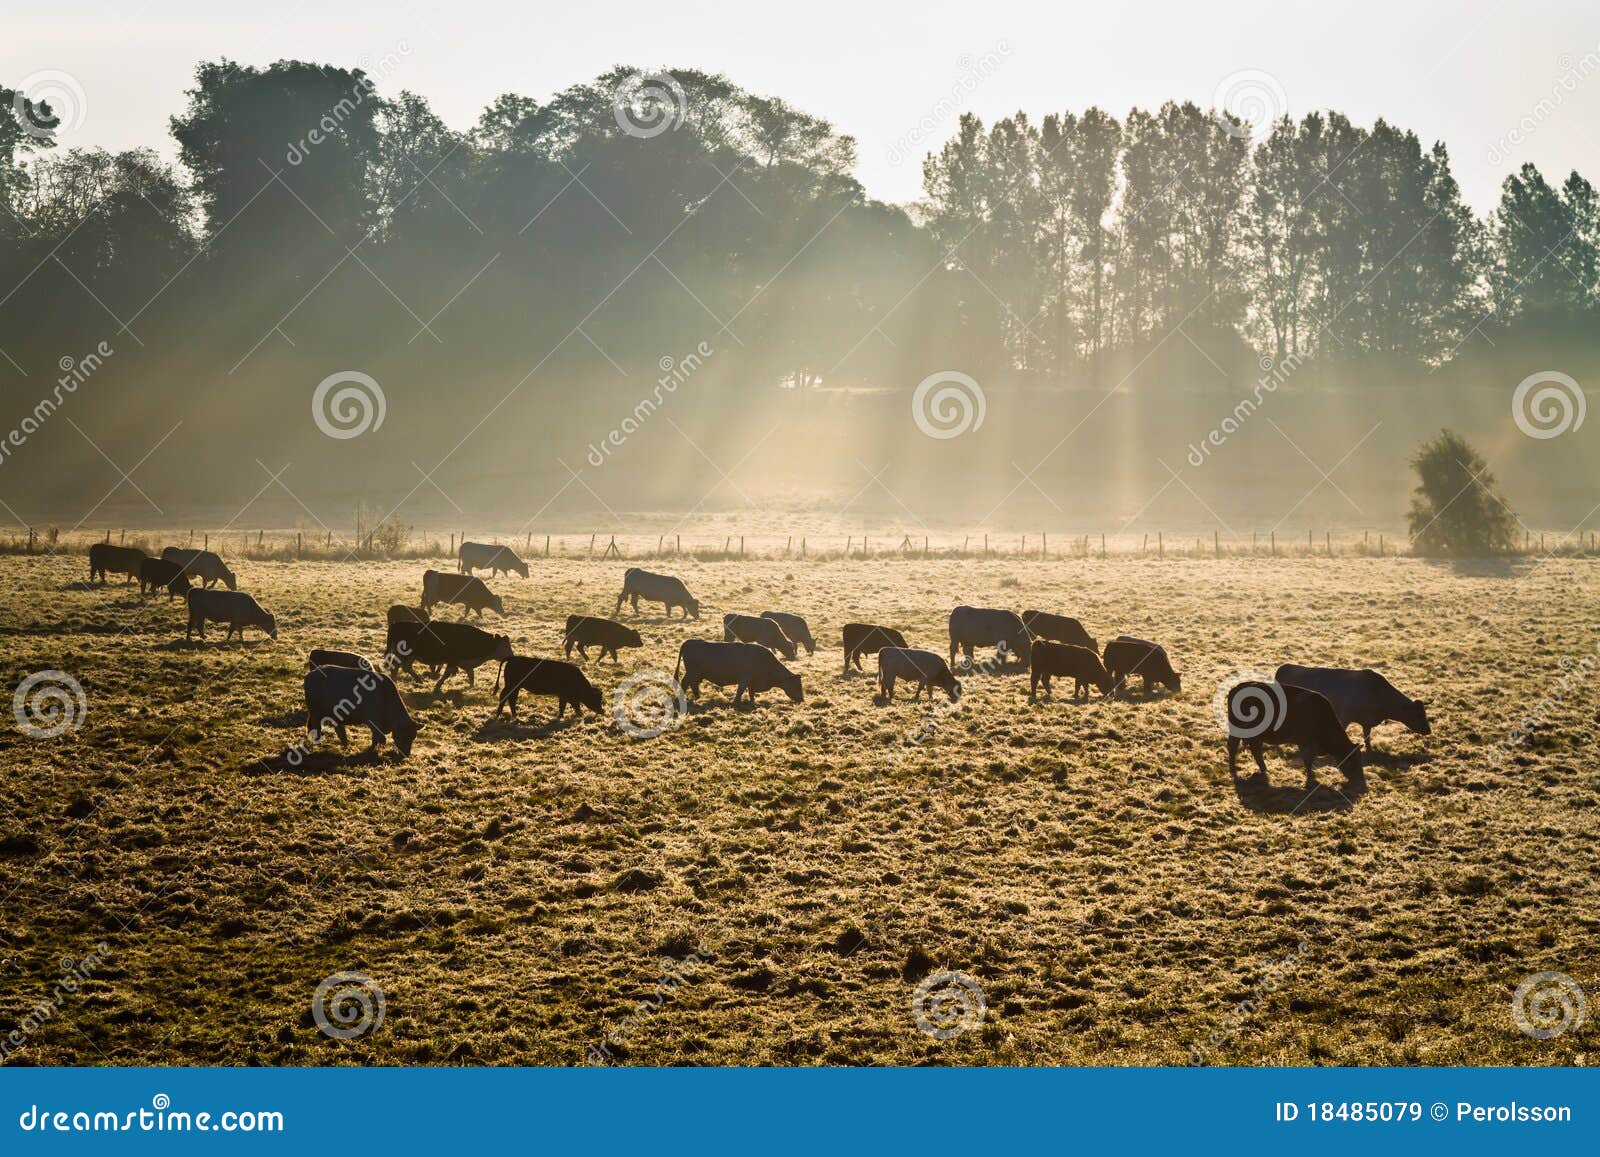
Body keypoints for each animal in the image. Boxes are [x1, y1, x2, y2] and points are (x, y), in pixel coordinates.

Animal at [1226, 680, 1362, 787]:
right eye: (1353, 761)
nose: (1359, 782)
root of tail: (1237, 687)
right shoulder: (1305, 742)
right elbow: (1308, 759)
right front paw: (1311, 776)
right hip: (1237, 730)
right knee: (1233, 746)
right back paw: (1233, 769)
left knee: (1255, 749)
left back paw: (1263, 768)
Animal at [1275, 664, 1431, 750]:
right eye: (1417, 715)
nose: (1428, 730)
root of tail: (1284, 668)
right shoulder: (1345, 717)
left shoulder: (1366, 722)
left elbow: (1367, 738)